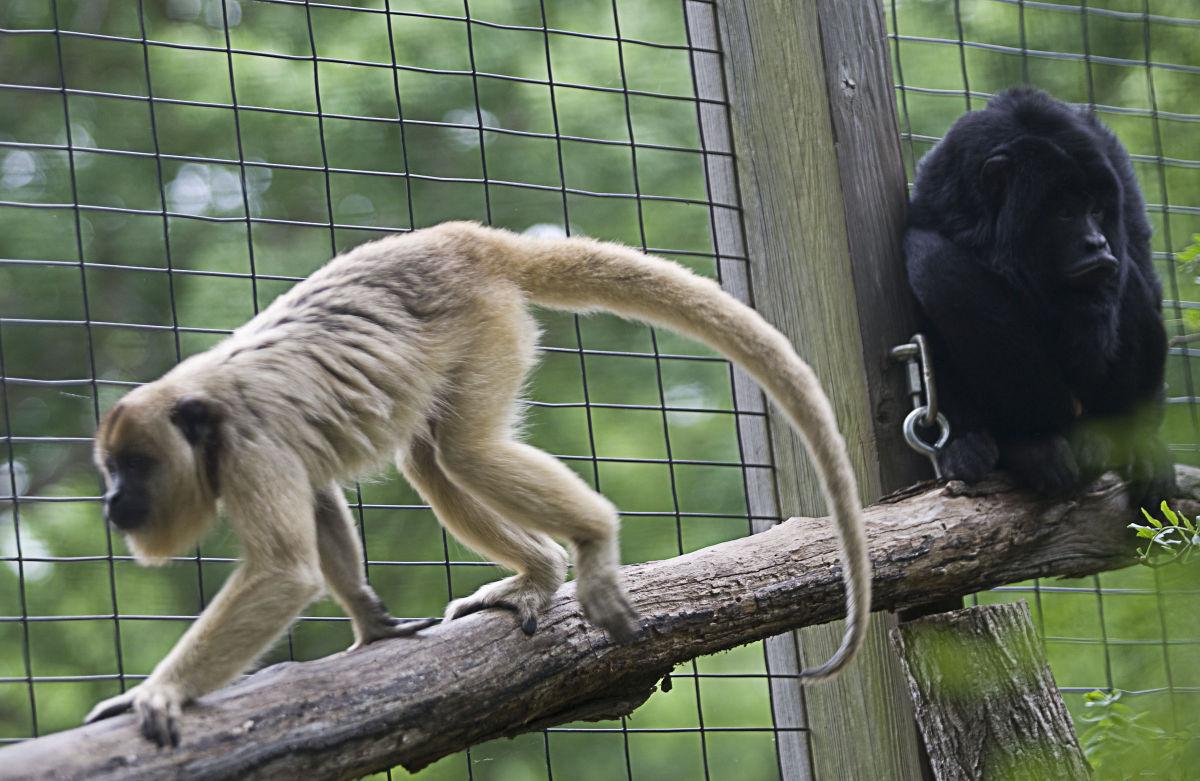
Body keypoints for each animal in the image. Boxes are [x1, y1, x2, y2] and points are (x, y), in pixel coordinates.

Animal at [83, 221, 870, 746]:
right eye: (110, 470)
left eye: (135, 466)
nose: (112, 503)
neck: (206, 420)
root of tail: (471, 240)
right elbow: (320, 503)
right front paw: (371, 625)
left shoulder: (251, 448)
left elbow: (282, 571)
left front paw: (159, 693)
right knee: (434, 461)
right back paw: (540, 570)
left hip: (487, 325)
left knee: (460, 452)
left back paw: (588, 541)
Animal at [904, 87, 1176, 507]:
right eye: (1063, 213)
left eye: (1096, 209)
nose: (1097, 243)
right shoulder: (938, 197)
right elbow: (928, 281)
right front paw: (962, 442)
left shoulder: (1116, 166)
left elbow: (1141, 270)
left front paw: (1145, 441)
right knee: (931, 262)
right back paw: (1029, 444)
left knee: (1131, 283)